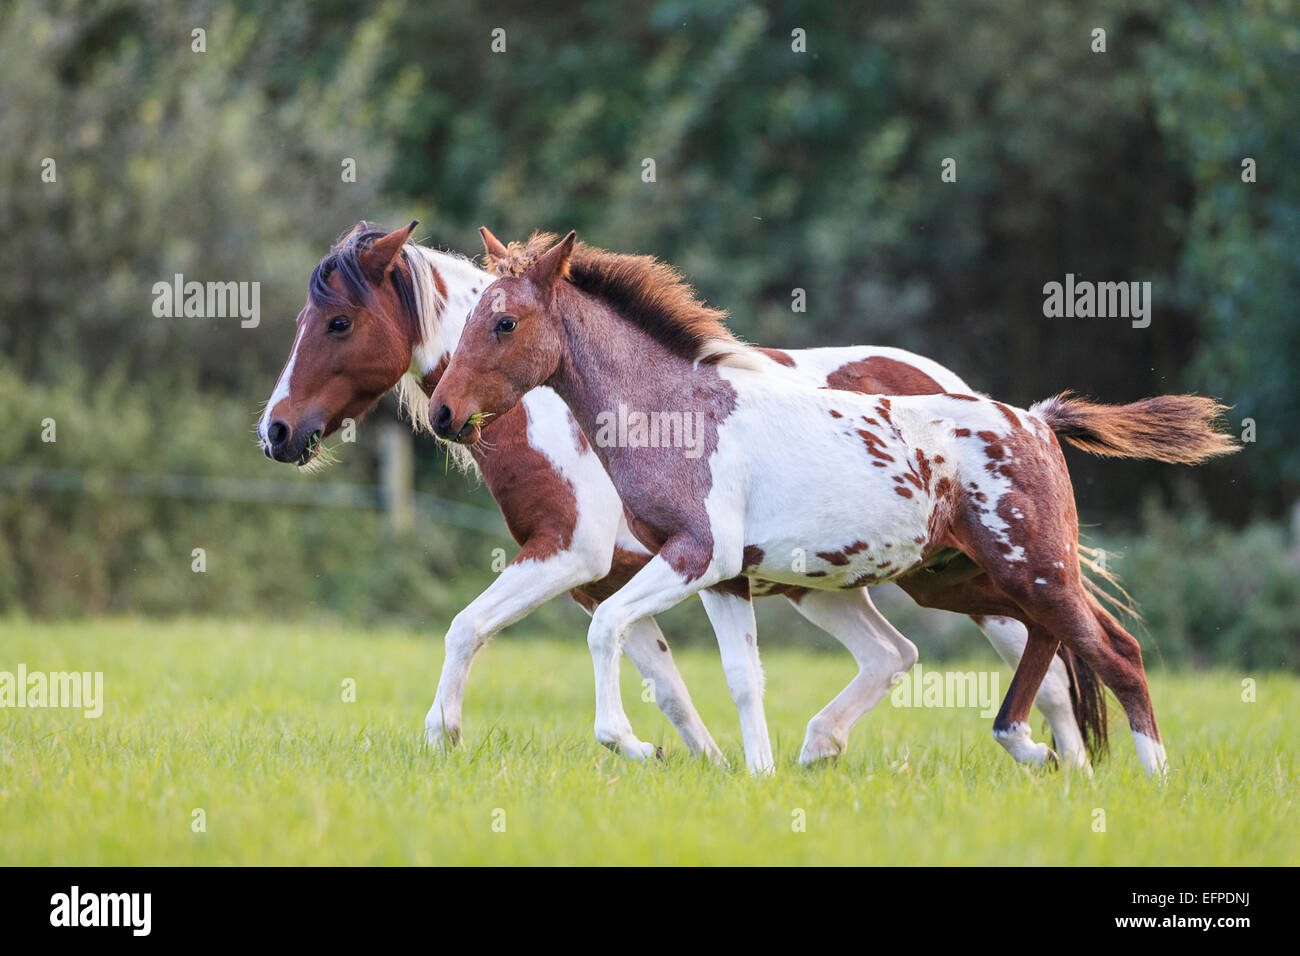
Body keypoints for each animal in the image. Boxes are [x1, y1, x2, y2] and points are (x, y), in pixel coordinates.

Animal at [258, 222, 1092, 772]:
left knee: (1059, 663)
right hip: (840, 583)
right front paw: (698, 758)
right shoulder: (607, 582)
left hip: (974, 576)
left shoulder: (570, 555)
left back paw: (1070, 766)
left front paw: (444, 735)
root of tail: (982, 399)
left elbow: (467, 627)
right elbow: (669, 685)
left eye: (338, 322)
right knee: (902, 655)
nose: (276, 430)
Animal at [430, 229, 1238, 778]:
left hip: (1033, 565)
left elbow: (605, 632)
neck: (680, 413)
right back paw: (1029, 748)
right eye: (466, 321)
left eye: (504, 323)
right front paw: (757, 773)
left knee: (1116, 651)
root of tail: (1036, 420)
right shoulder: (726, 577)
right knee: (1046, 640)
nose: (442, 413)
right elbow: (742, 677)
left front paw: (630, 741)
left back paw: (1152, 777)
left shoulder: (695, 555)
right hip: (966, 577)